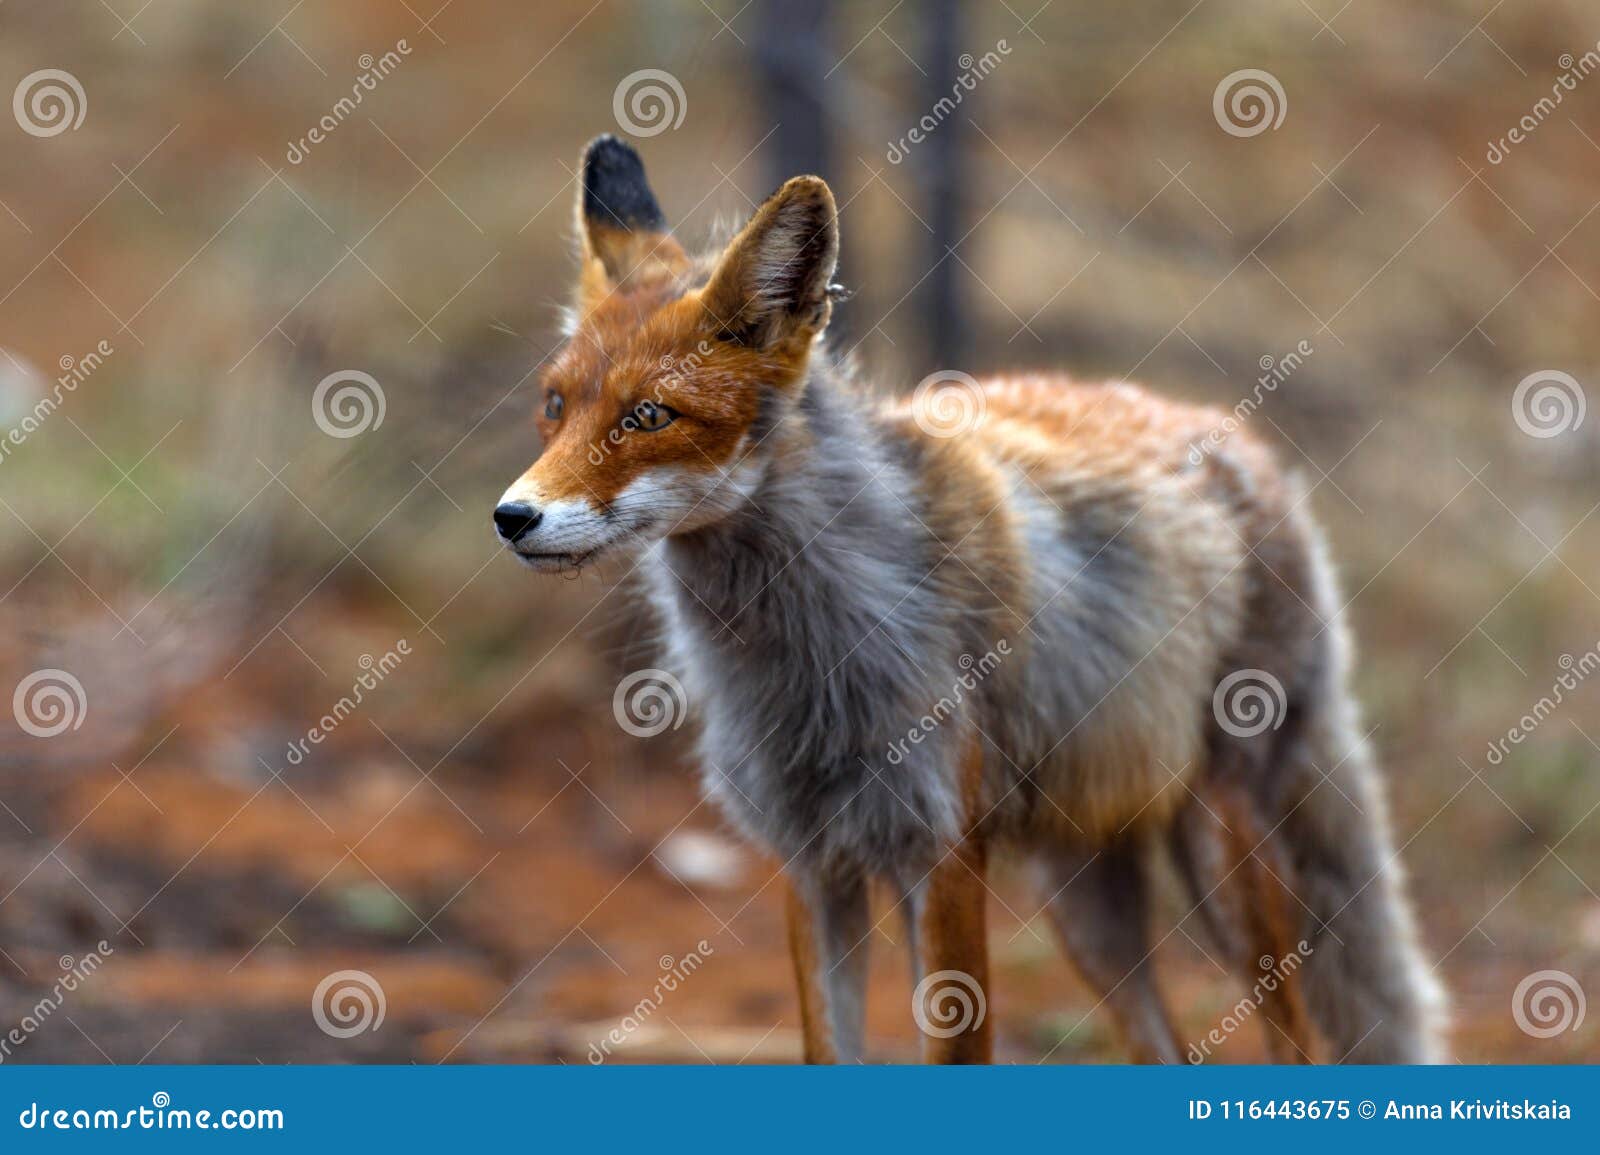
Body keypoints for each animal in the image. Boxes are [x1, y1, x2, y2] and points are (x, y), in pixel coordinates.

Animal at [492, 135, 1446, 1064]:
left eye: (649, 417)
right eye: (555, 405)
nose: (512, 517)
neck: (803, 655)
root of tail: (1249, 448)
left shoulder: (942, 849)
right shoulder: (812, 861)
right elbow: (826, 1051)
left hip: (1220, 859)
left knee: (1298, 1046)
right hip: (1082, 900)